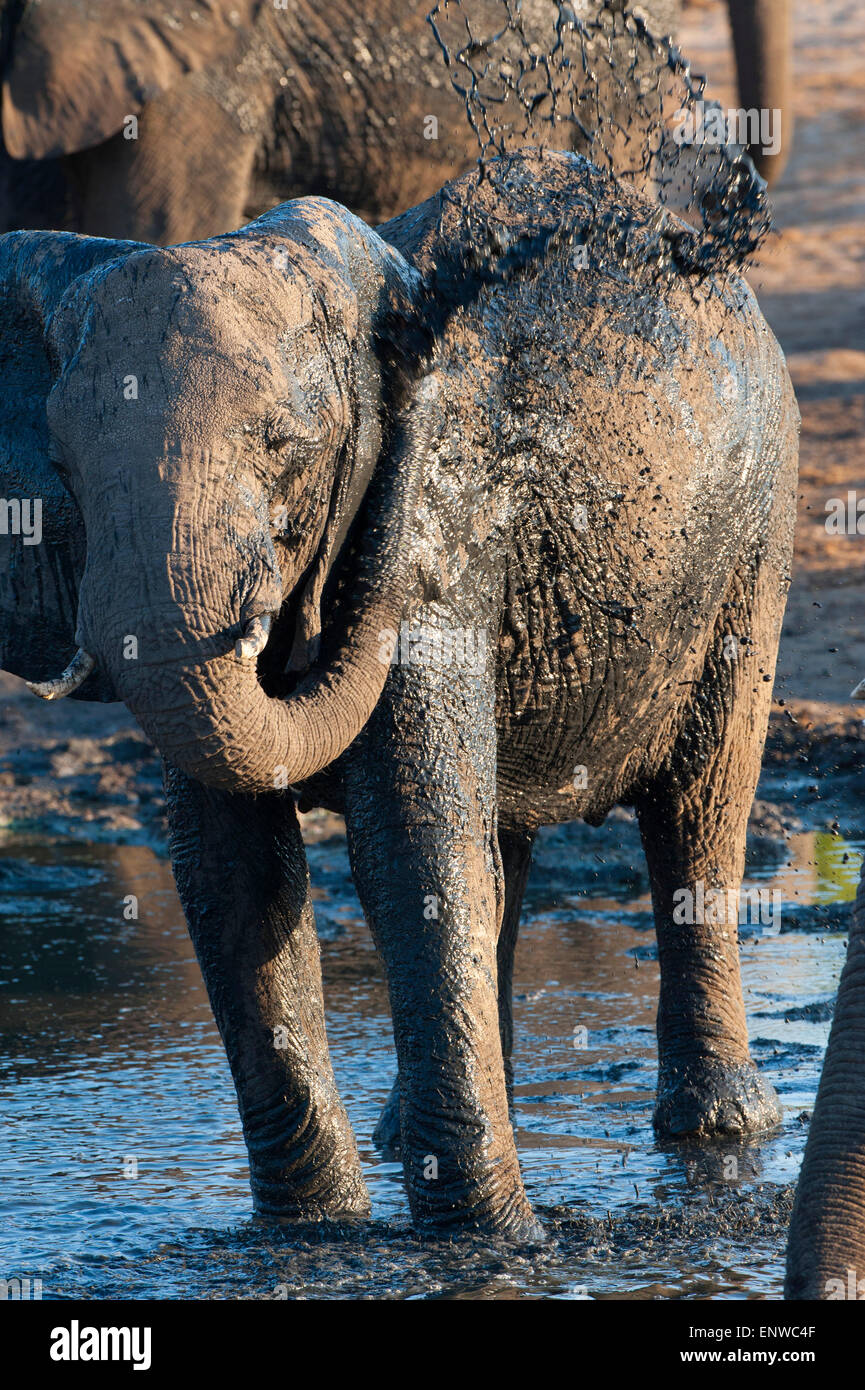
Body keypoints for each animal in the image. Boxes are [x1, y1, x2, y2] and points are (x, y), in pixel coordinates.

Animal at [0, 146, 799, 1235]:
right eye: (64, 470)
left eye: (284, 448)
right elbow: (235, 876)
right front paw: (315, 1234)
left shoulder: (442, 542)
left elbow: (411, 850)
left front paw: (485, 1241)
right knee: (500, 846)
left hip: (752, 536)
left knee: (698, 808)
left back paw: (719, 1134)